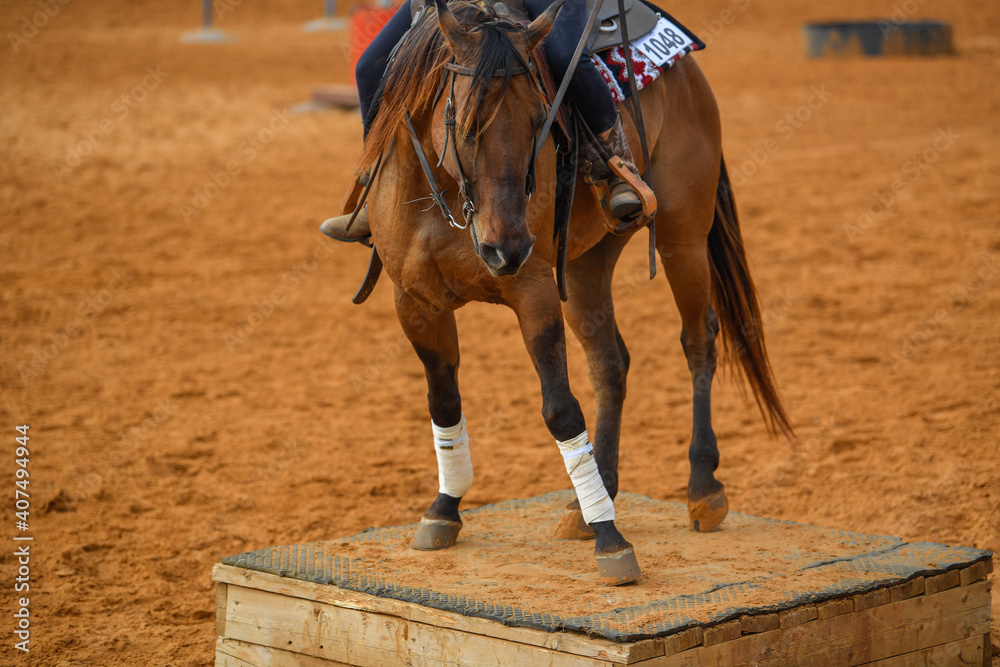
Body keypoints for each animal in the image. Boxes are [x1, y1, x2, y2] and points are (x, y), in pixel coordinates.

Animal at [349, 0, 793, 585]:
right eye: (466, 126)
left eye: (542, 120)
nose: (506, 248)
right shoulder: (414, 301)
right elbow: (443, 401)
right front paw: (444, 508)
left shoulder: (534, 290)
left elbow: (561, 409)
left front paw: (612, 541)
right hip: (585, 264)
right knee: (610, 362)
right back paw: (595, 495)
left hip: (683, 235)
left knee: (699, 340)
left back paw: (702, 487)